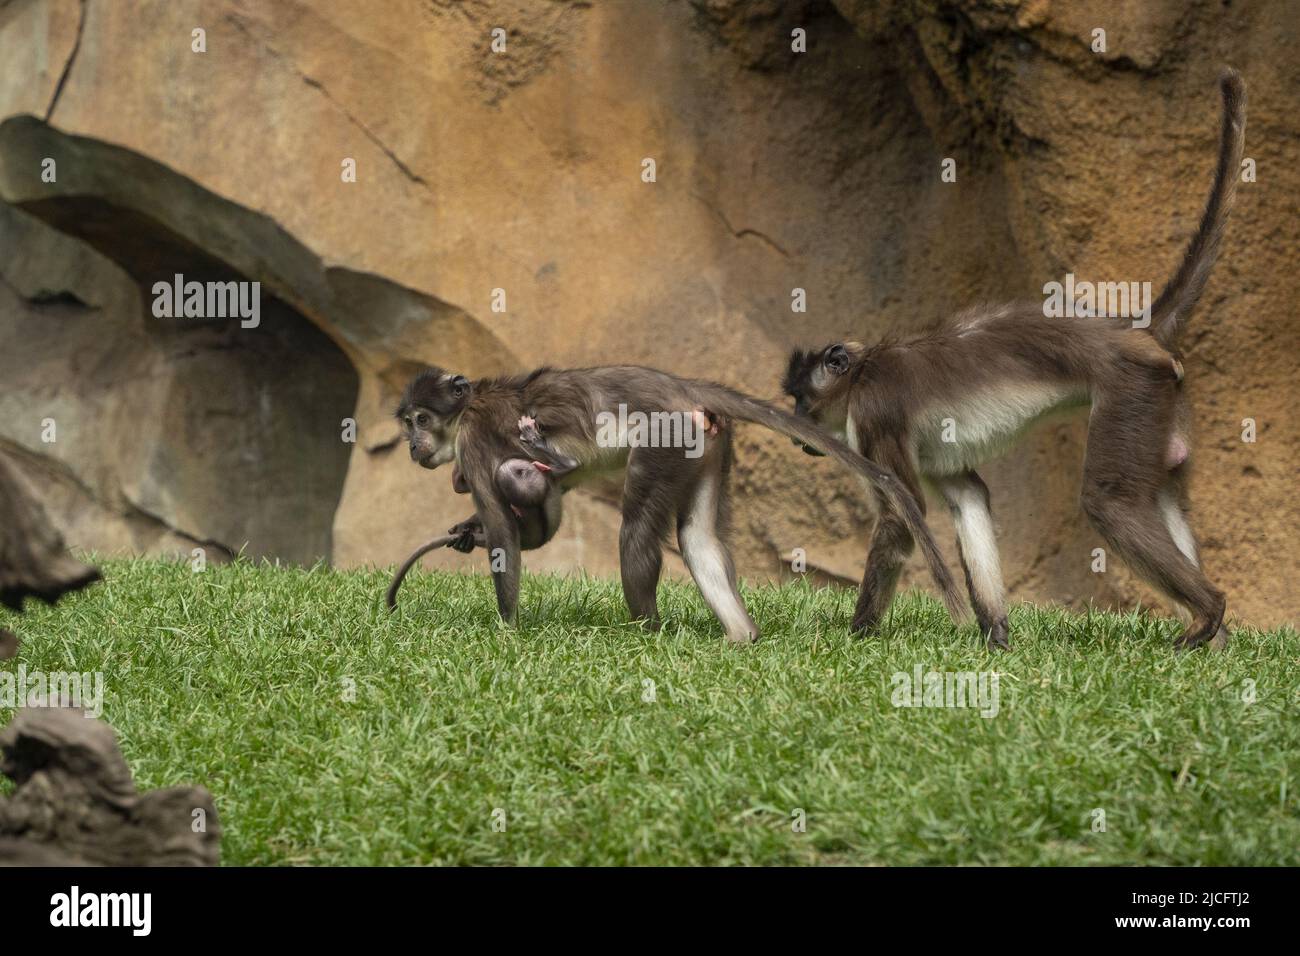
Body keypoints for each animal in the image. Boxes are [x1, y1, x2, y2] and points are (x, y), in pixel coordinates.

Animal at [395, 365, 968, 644]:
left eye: (421, 420)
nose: (412, 446)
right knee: (699, 538)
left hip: (666, 438)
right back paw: (742, 637)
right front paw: (466, 531)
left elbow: (507, 532)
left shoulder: (473, 442)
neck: (471, 405)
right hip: (704, 444)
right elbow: (549, 506)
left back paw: (645, 634)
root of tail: (684, 388)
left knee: (636, 532)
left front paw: (507, 630)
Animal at [782, 69, 1246, 652]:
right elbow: (969, 497)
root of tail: (1130, 331)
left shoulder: (874, 414)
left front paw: (856, 637)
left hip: (1132, 387)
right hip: (1165, 399)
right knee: (1164, 491)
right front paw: (997, 638)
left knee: (1110, 502)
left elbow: (900, 520)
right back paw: (1216, 645)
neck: (865, 368)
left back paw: (1208, 613)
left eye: (803, 400)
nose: (797, 425)